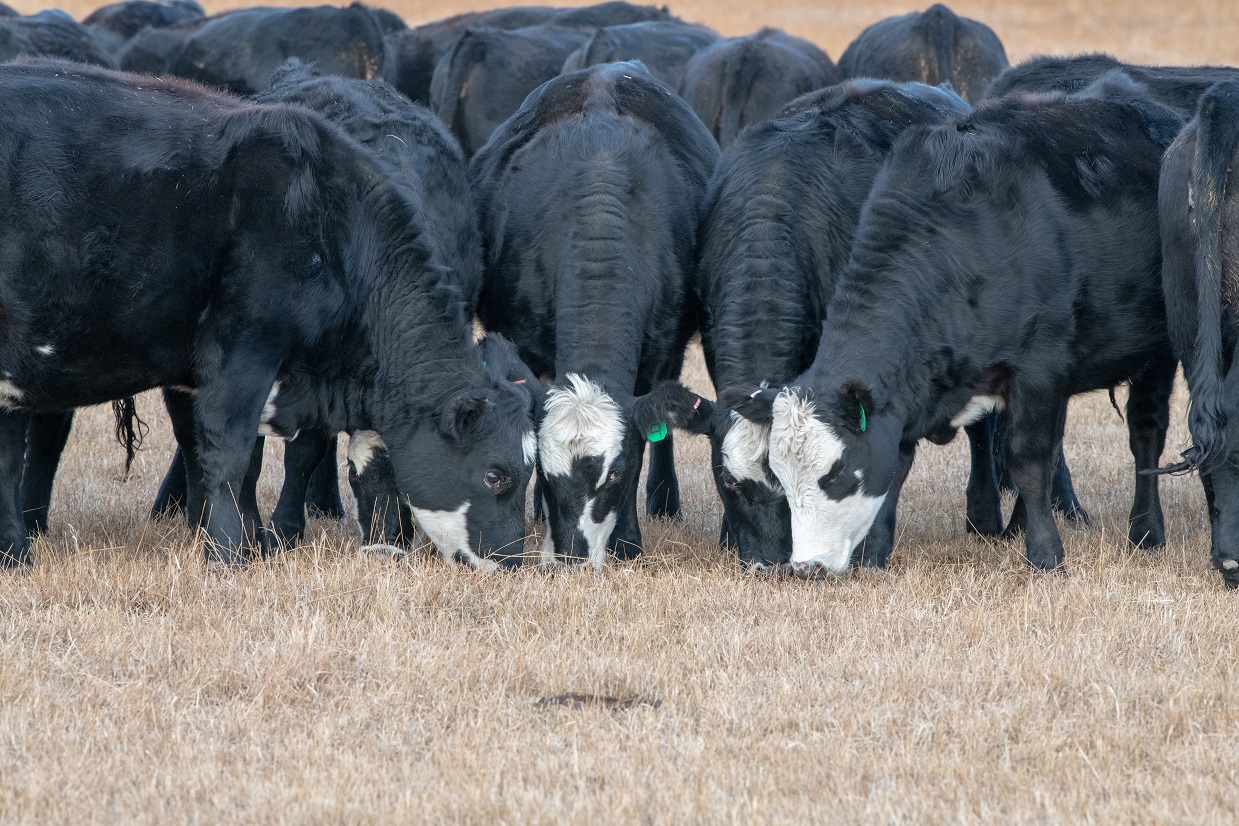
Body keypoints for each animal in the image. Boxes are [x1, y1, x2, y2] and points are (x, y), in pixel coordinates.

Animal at [0, 61, 537, 570]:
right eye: (496, 474)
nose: (512, 562)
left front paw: (250, 539)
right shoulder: (243, 349)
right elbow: (231, 455)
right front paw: (231, 552)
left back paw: (16, 556)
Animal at [470, 62, 718, 569]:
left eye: (614, 474)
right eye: (545, 473)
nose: (572, 556)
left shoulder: (657, 355)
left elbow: (647, 439)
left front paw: (628, 542)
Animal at [726, 84, 1182, 576]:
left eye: (836, 473)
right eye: (781, 478)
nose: (805, 565)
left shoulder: (1037, 370)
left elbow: (1026, 459)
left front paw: (1045, 555)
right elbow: (898, 465)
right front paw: (874, 554)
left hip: (1157, 356)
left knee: (1145, 437)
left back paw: (1146, 531)